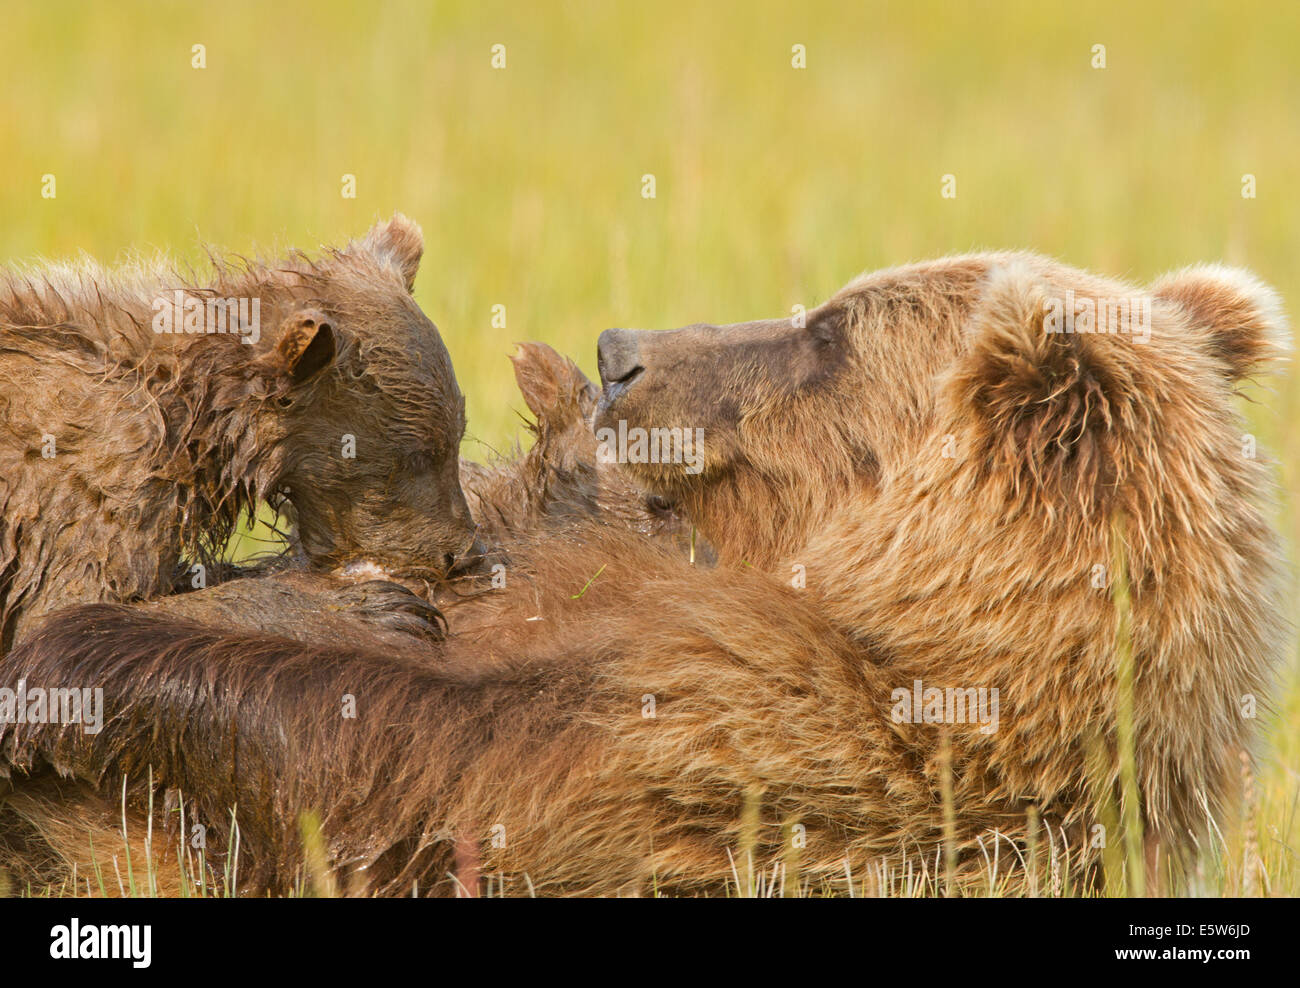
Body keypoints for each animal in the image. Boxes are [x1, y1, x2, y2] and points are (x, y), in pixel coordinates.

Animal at [0, 215, 478, 651]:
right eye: (419, 454)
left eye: (456, 436)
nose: (465, 553)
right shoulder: (93, 473)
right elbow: (72, 608)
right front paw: (378, 609)